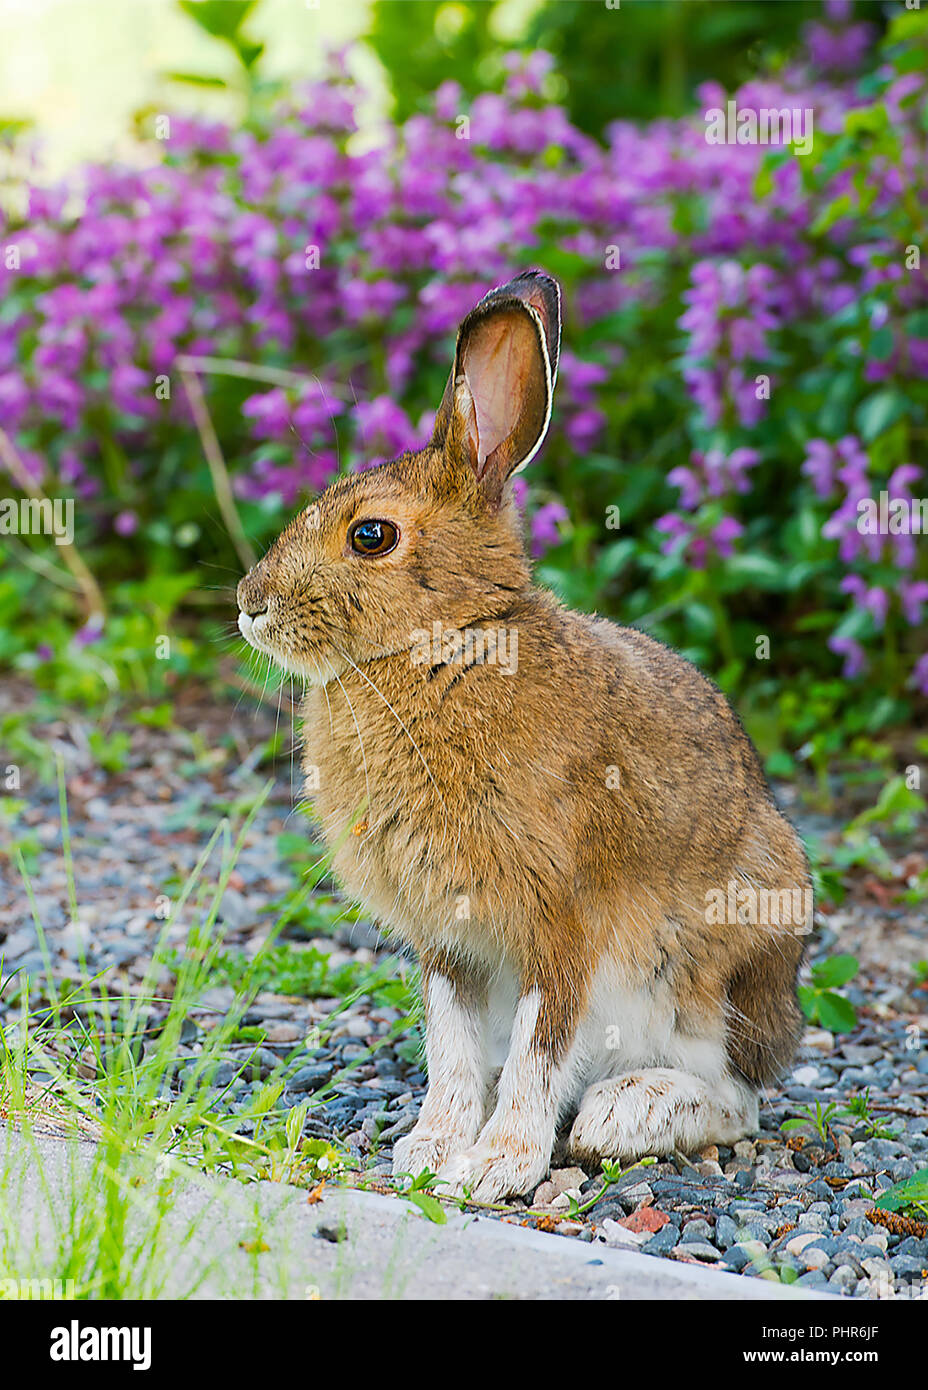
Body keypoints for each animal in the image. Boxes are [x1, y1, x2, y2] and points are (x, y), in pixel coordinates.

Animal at [237, 270, 810, 1203]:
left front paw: (496, 1168)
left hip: (703, 979)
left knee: (737, 1100)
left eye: (371, 535)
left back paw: (628, 1113)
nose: (250, 605)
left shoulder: (564, 922)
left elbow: (544, 1045)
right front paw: (431, 1151)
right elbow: (452, 1048)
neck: (448, 641)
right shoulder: (451, 942)